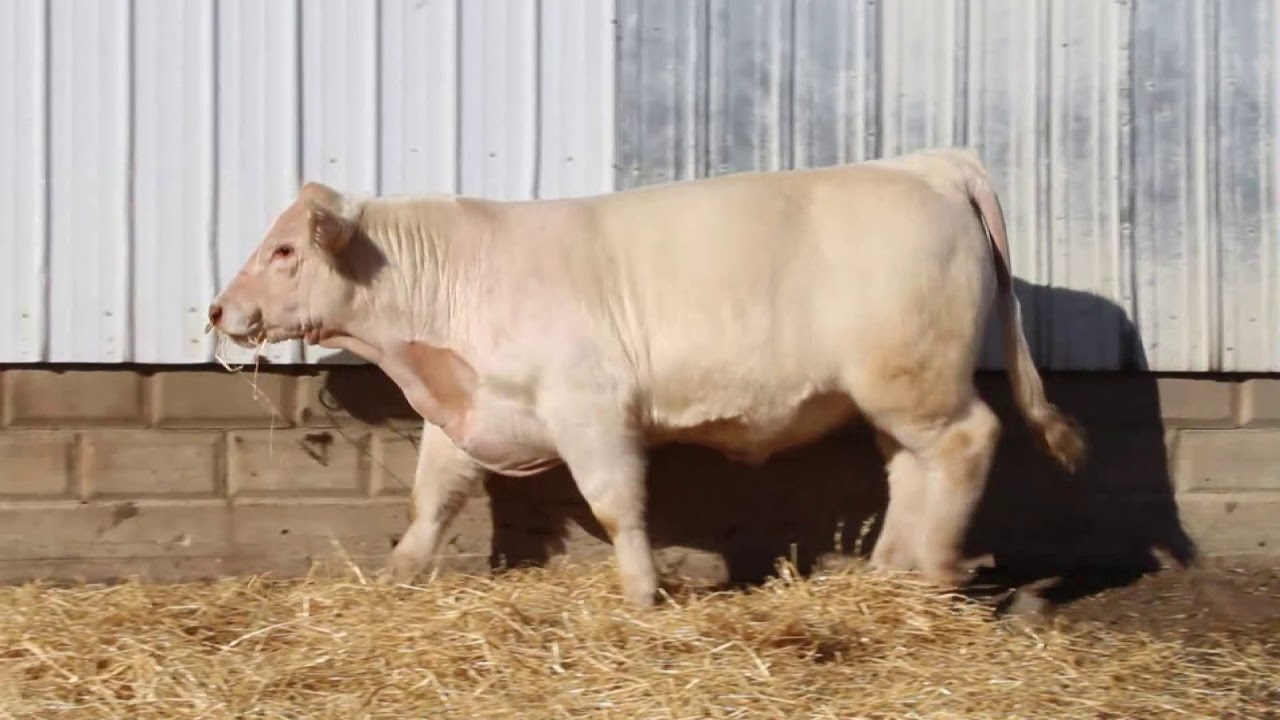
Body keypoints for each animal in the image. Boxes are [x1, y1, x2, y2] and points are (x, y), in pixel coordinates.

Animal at [207, 147, 1086, 608]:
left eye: (284, 250)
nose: (219, 309)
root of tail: (926, 166)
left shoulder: (592, 411)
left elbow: (615, 505)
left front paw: (640, 595)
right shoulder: (465, 413)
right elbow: (430, 504)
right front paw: (397, 579)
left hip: (918, 383)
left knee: (970, 442)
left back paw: (935, 572)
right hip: (889, 394)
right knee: (910, 469)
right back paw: (890, 569)